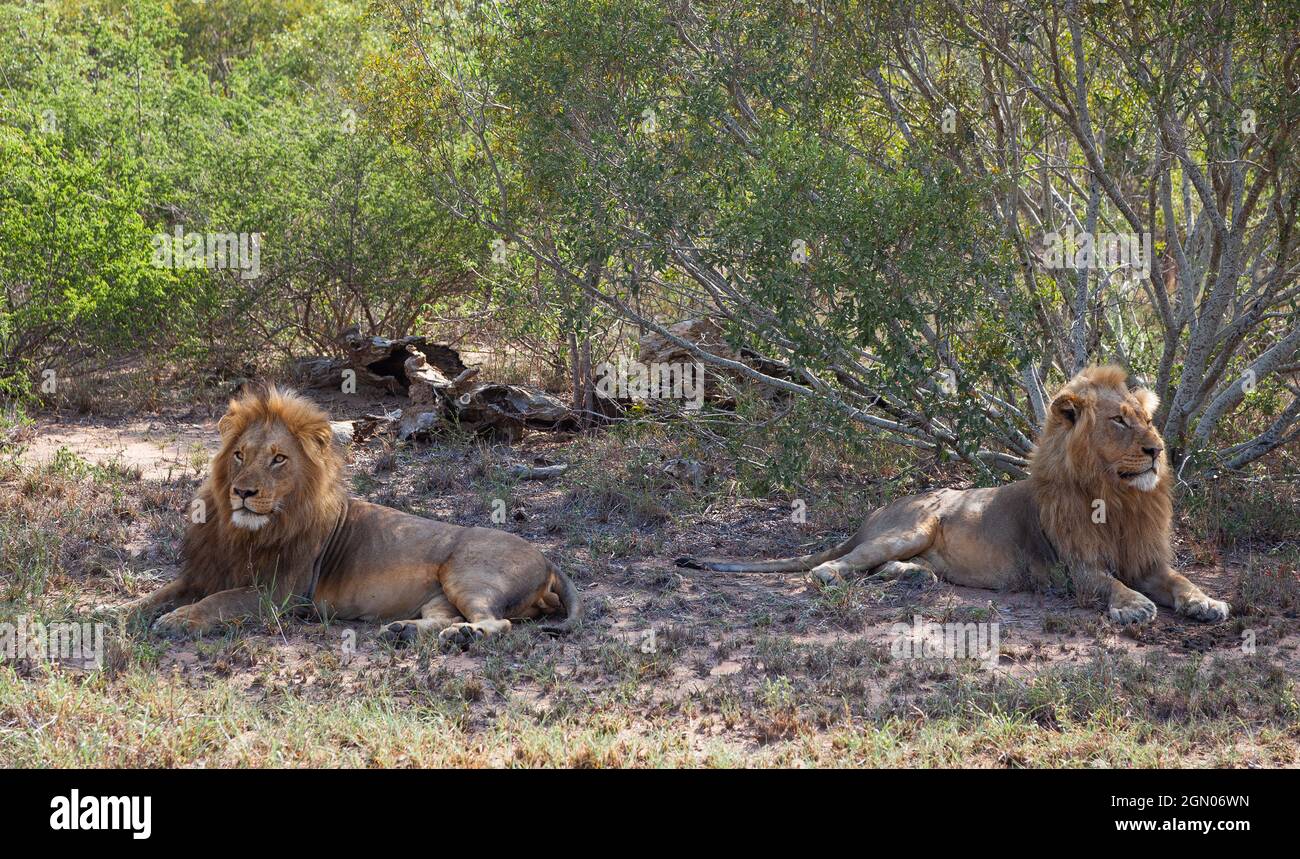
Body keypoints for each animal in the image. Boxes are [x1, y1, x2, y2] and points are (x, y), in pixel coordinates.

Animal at [102, 385, 580, 645]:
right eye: (239, 455)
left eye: (278, 459)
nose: (242, 492)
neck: (246, 533)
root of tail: (548, 558)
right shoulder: (205, 572)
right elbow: (156, 594)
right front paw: (114, 613)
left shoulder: (281, 595)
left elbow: (218, 602)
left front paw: (177, 620)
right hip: (441, 595)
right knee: (448, 617)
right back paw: (404, 632)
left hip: (468, 575)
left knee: (497, 621)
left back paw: (465, 638)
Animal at [680, 365, 1229, 625]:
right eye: (1119, 420)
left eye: (1145, 418)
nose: (1158, 450)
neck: (1119, 498)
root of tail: (873, 514)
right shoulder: (1074, 567)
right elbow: (1110, 584)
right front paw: (1134, 606)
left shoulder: (1147, 559)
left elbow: (1181, 580)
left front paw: (1207, 602)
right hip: (912, 526)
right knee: (831, 568)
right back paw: (848, 578)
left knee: (879, 567)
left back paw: (914, 577)